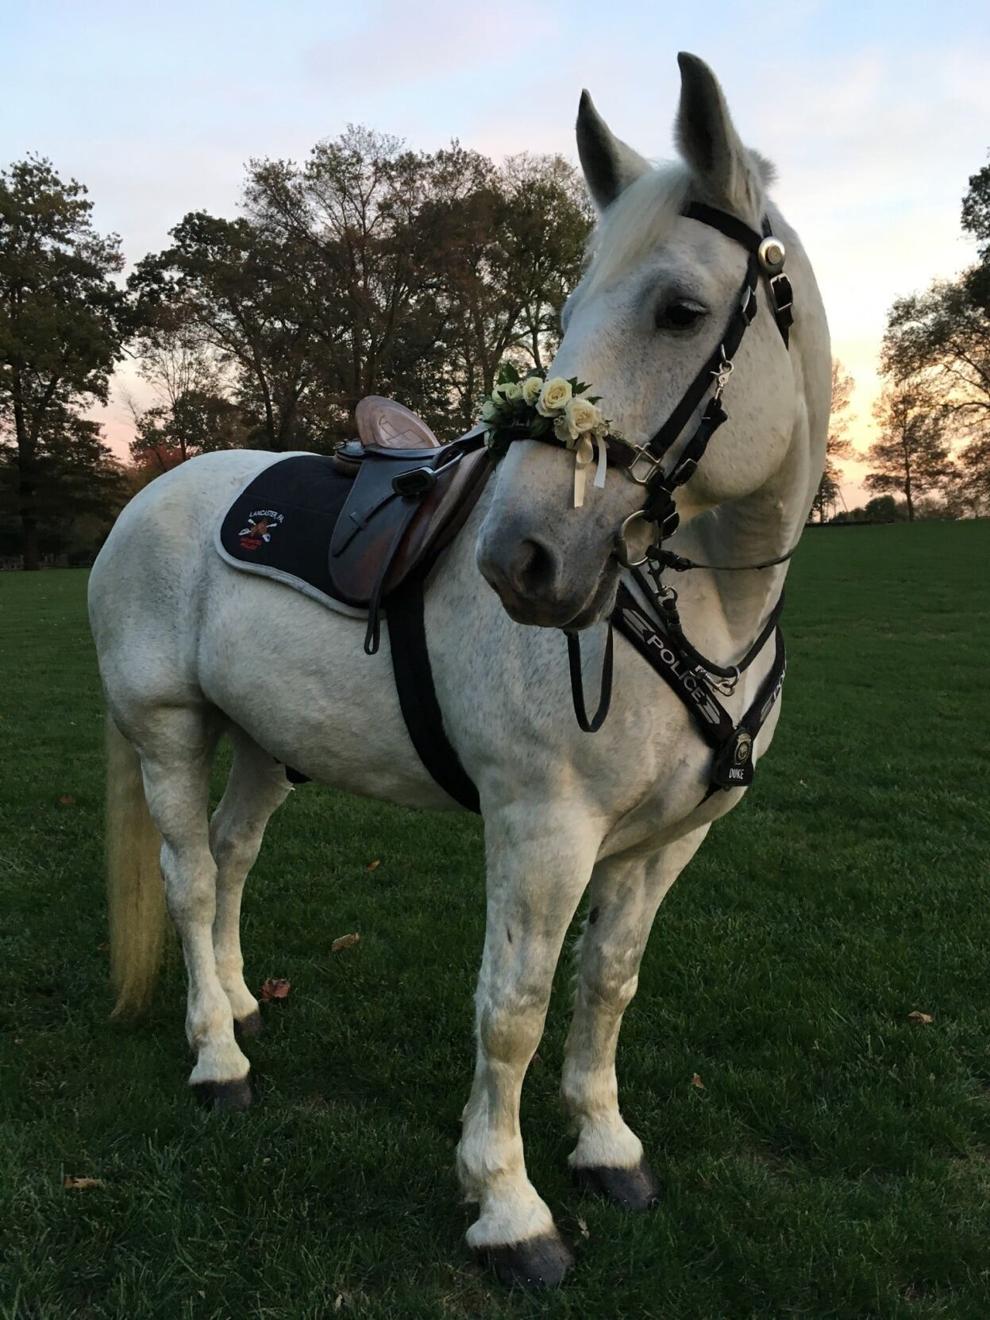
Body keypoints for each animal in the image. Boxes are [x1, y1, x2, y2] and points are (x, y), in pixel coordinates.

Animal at [88, 52, 830, 1288]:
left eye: (680, 310)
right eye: (568, 312)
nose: (520, 557)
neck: (696, 612)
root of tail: (150, 494)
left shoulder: (668, 842)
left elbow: (608, 985)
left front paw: (607, 1146)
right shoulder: (544, 827)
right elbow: (513, 1009)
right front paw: (507, 1206)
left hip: (265, 742)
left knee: (233, 858)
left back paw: (239, 1006)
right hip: (167, 729)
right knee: (190, 880)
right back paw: (216, 1060)